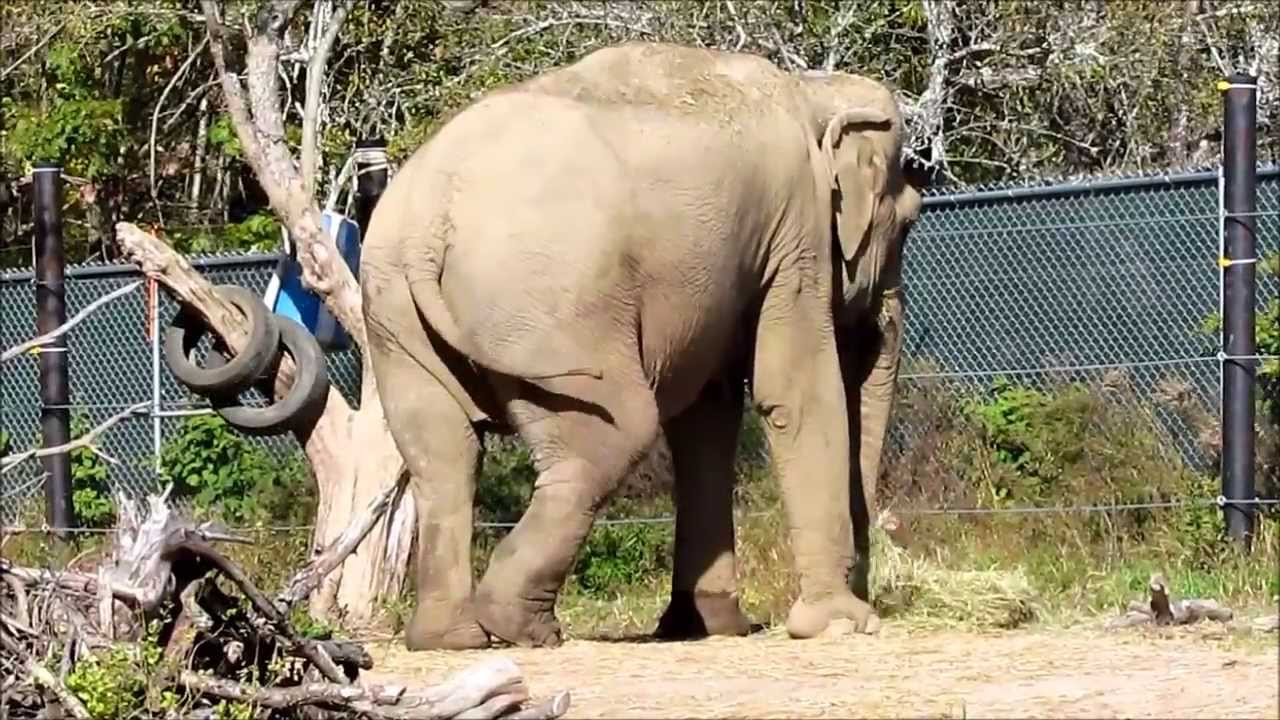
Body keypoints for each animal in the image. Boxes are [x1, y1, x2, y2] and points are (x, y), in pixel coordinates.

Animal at [358, 40, 921, 651]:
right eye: (909, 223)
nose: (869, 600)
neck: (811, 90)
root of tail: (429, 224)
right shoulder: (797, 228)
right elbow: (793, 393)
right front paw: (839, 625)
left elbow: (708, 416)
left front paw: (708, 625)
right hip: (554, 311)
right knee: (613, 434)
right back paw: (523, 627)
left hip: (395, 315)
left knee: (442, 455)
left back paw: (452, 637)